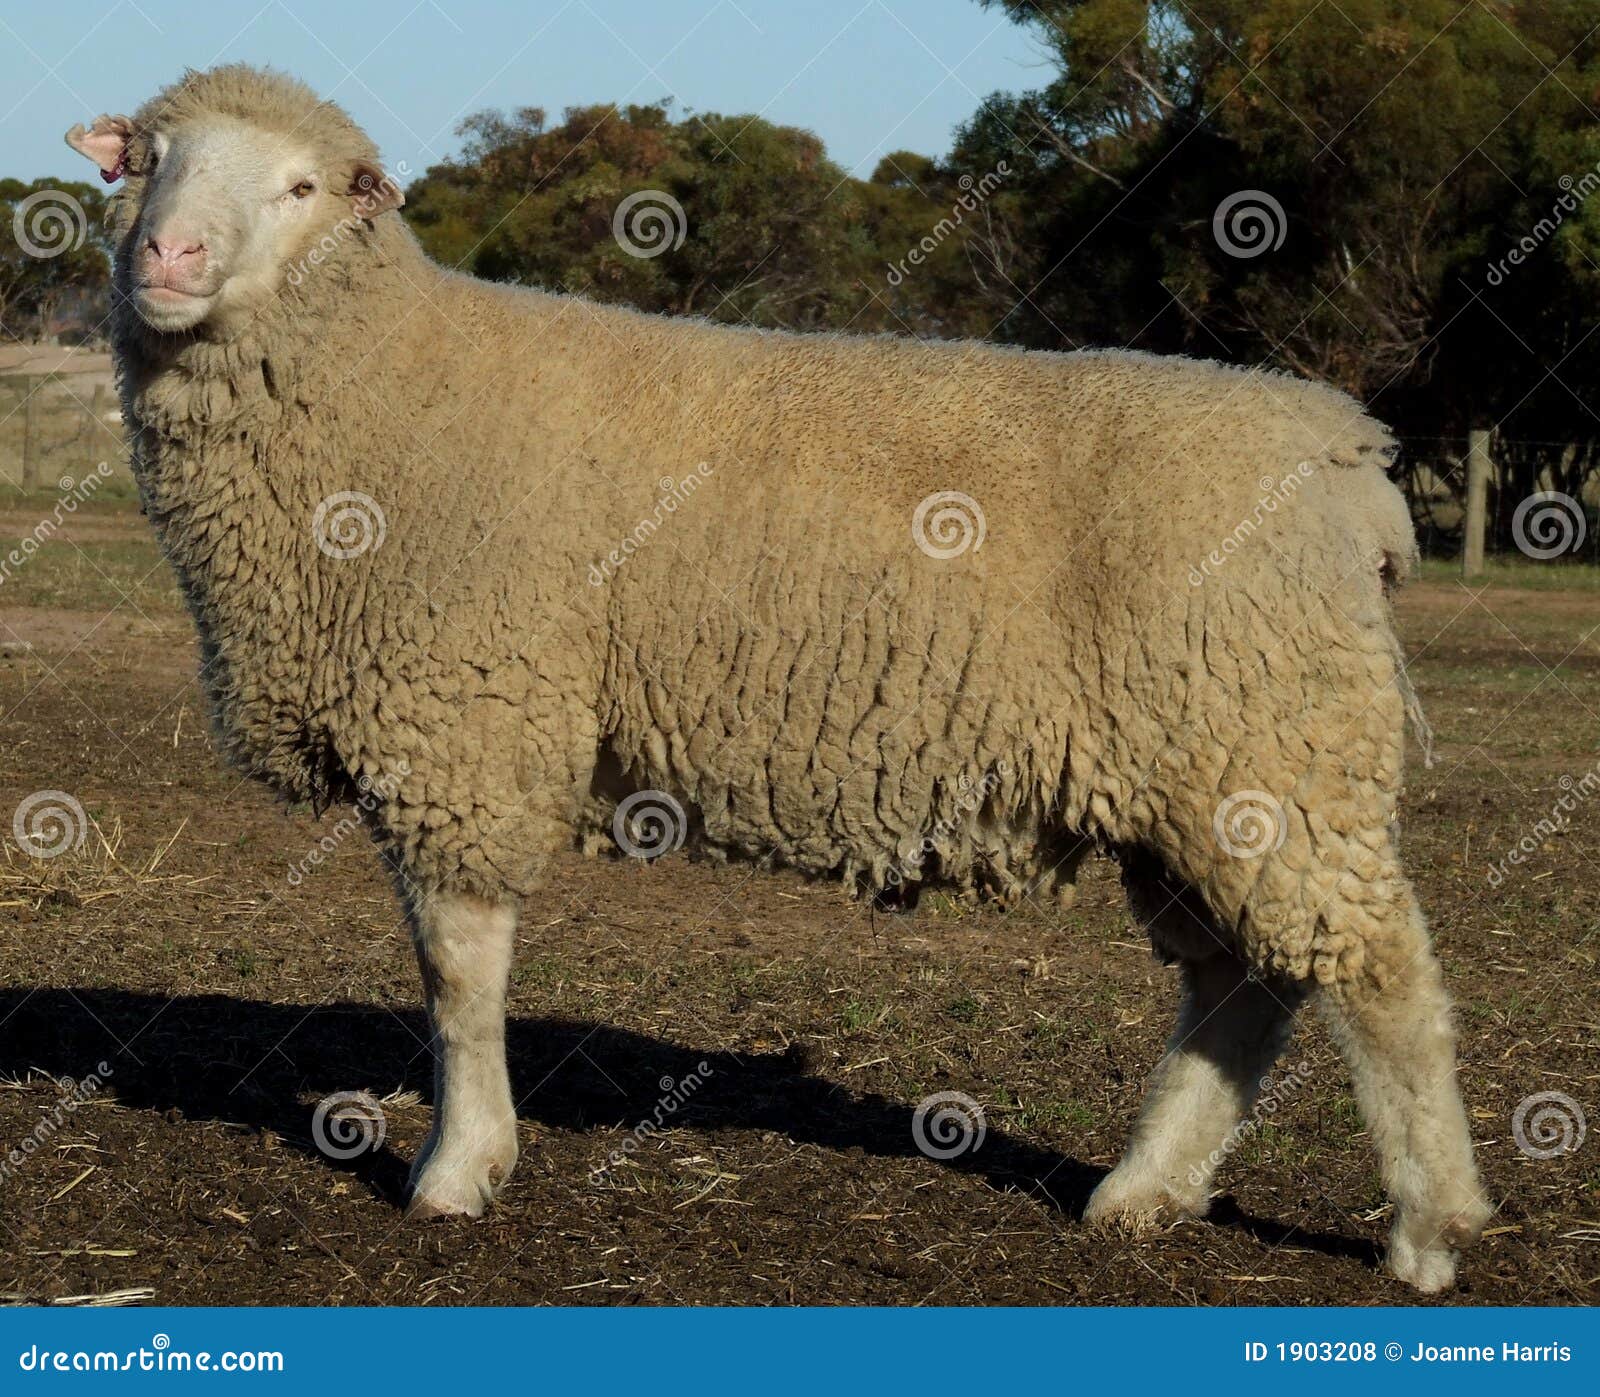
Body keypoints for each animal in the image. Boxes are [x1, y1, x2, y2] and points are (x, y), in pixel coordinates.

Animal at [66, 63, 1490, 1292]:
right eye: (149, 161)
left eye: (301, 186)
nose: (167, 257)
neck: (386, 386)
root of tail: (1348, 457)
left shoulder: (465, 721)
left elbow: (457, 977)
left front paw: (458, 1167)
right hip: (1201, 771)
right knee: (1244, 986)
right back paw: (1140, 1193)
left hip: (1270, 738)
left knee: (1383, 976)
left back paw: (1429, 1226)